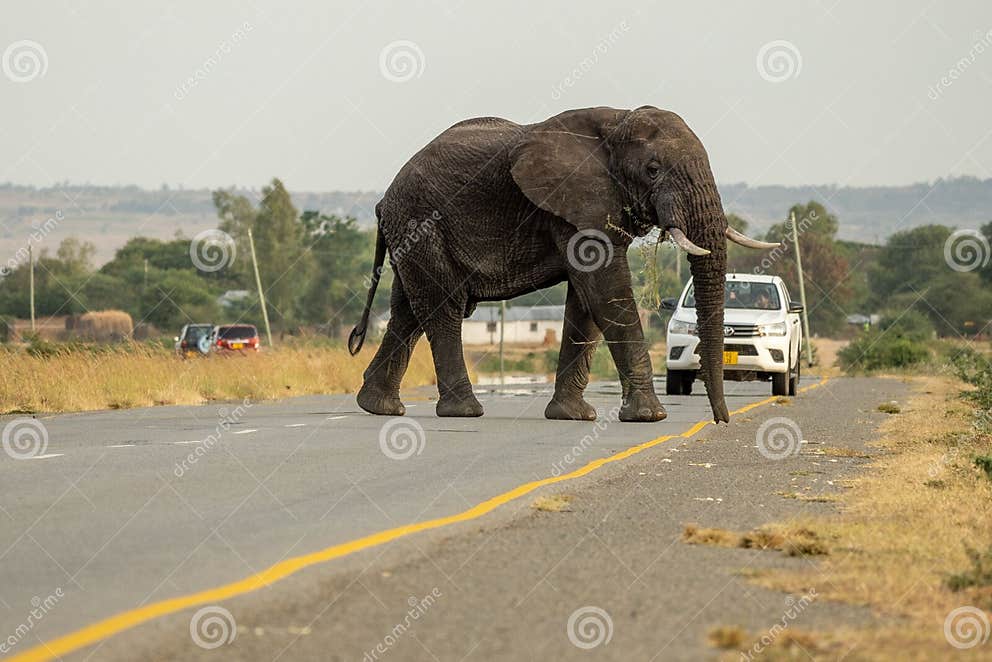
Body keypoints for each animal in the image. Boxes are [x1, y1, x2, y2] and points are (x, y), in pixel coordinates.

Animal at [348, 106, 776, 423]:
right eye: (653, 169)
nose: (721, 421)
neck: (616, 121)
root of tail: (384, 200)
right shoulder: (572, 202)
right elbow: (604, 289)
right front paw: (650, 417)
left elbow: (586, 301)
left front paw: (573, 416)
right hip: (421, 222)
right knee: (444, 306)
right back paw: (464, 411)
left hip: (413, 231)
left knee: (408, 309)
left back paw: (380, 407)